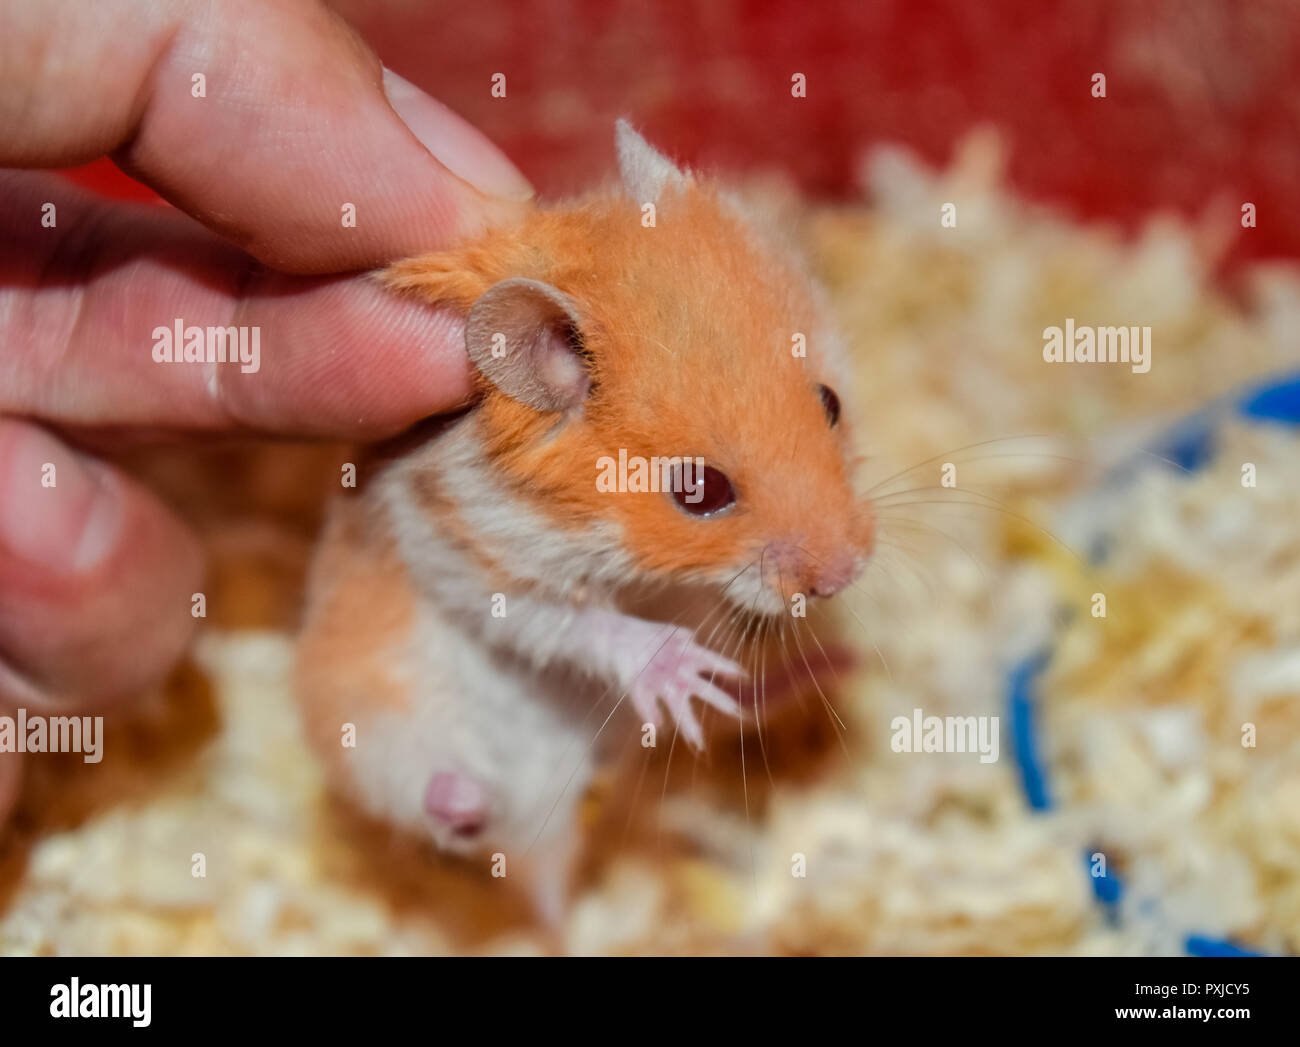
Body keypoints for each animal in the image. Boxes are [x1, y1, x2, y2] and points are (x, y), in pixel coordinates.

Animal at [294, 121, 875, 920]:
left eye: (830, 402)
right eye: (699, 490)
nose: (846, 574)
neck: (632, 564)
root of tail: (541, 866)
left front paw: (719, 673)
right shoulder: (466, 546)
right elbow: (580, 622)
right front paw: (681, 672)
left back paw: (816, 672)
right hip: (371, 726)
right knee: (429, 798)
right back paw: (470, 801)